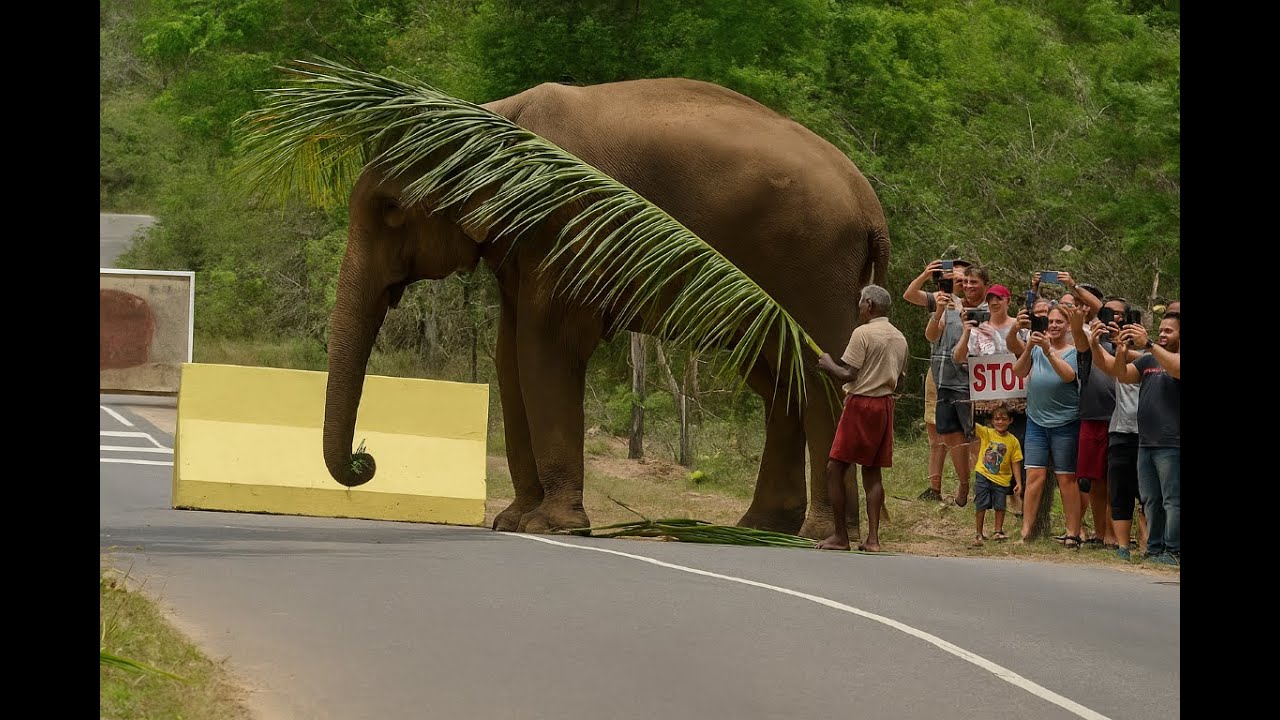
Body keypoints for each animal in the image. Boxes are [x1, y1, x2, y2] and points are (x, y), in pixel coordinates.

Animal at [321, 77, 891, 538]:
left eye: (391, 209)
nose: (364, 460)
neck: (491, 114)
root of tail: (871, 208)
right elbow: (509, 357)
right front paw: (514, 521)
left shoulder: (565, 222)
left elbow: (544, 347)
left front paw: (553, 526)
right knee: (779, 377)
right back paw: (760, 528)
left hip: (811, 264)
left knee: (814, 373)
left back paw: (817, 534)